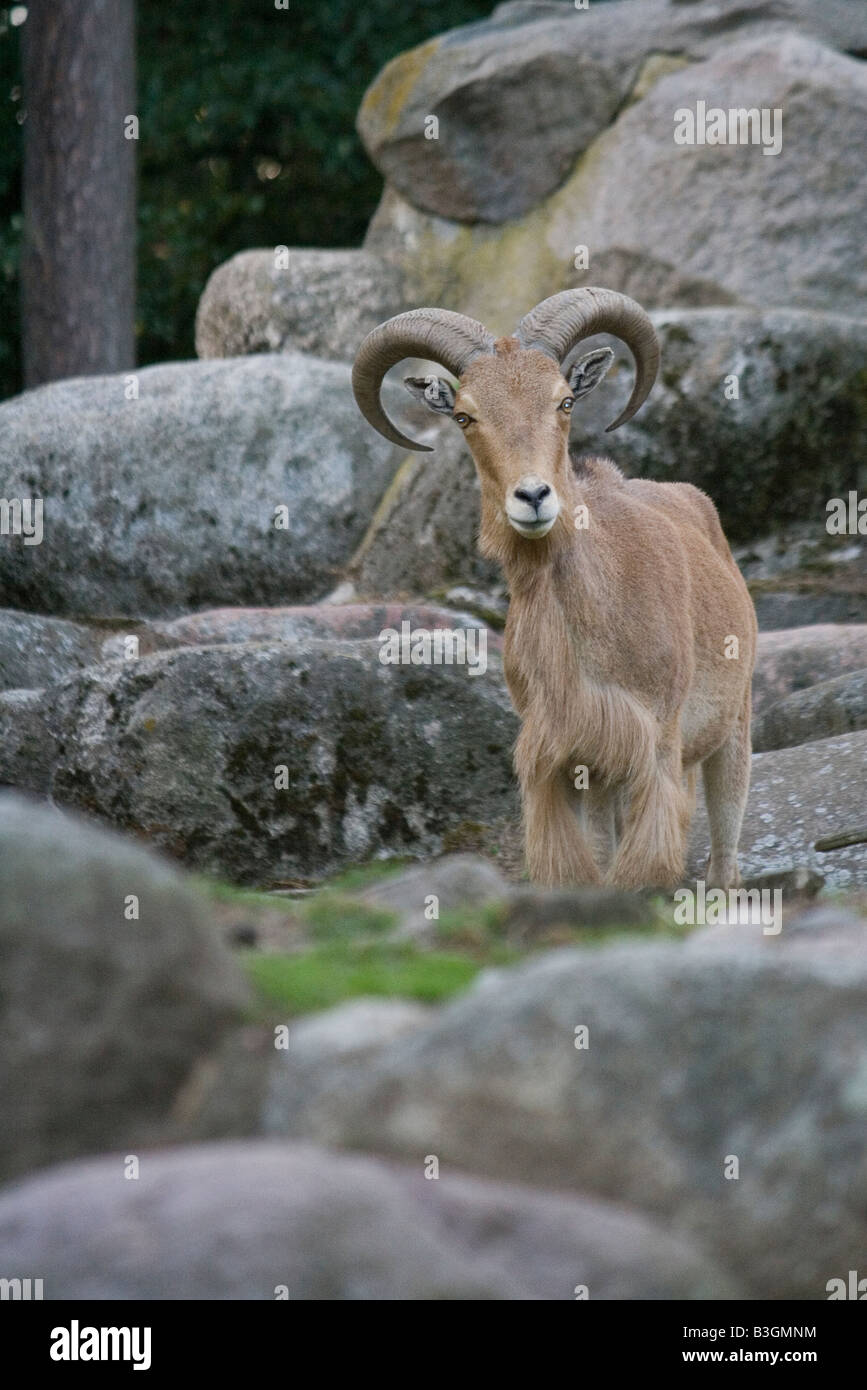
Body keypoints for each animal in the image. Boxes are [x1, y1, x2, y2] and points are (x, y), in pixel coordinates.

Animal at [352, 288, 757, 890]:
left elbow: (643, 863)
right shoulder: (566, 756)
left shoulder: (655, 743)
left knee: (726, 839)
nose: (534, 496)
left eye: (565, 401)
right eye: (466, 415)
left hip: (734, 724)